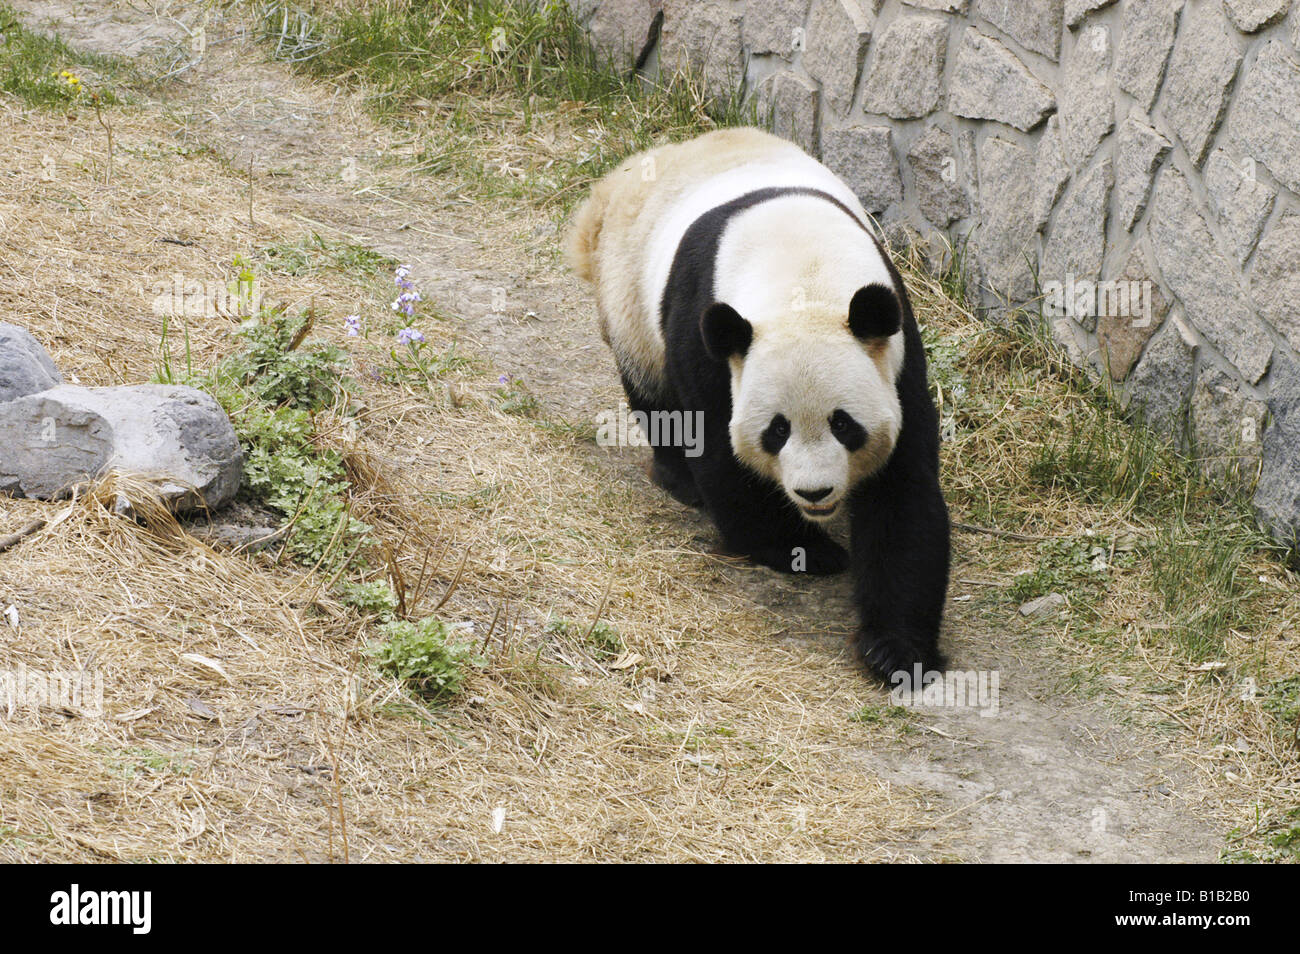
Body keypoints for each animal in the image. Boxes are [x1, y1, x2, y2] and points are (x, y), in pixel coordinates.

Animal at [566, 127, 950, 680]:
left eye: (844, 425)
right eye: (778, 430)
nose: (815, 492)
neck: (802, 274)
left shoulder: (894, 354)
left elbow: (902, 488)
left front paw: (895, 650)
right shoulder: (705, 330)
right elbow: (715, 445)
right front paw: (805, 551)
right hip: (628, 294)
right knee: (653, 394)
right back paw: (681, 481)